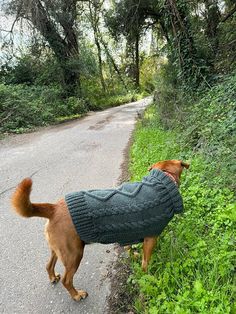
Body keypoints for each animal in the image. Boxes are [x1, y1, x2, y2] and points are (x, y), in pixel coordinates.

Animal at [11, 159, 190, 302]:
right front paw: (147, 275)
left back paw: (53, 277)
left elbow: (129, 247)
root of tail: (53, 208)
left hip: (58, 250)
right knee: (67, 280)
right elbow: (146, 263)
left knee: (48, 265)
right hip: (74, 254)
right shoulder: (150, 238)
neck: (163, 180)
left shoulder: (129, 232)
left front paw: (133, 256)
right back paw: (76, 295)